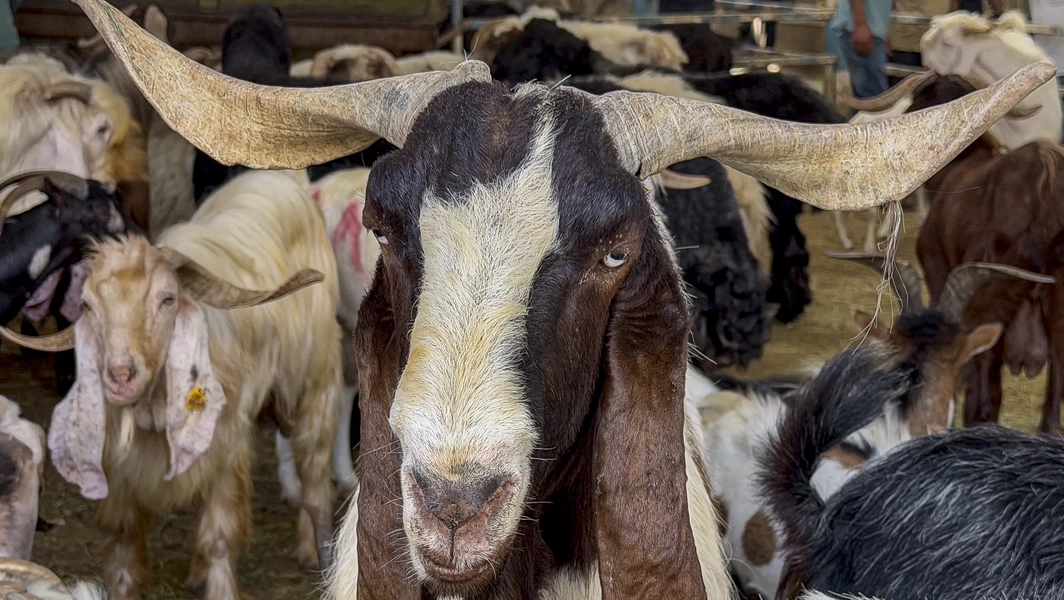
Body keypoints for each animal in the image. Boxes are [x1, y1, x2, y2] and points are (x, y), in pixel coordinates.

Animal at [4, 170, 343, 600]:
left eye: (166, 299)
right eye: (88, 305)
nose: (120, 373)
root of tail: (283, 180)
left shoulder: (226, 449)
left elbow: (219, 537)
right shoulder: (122, 467)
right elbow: (124, 540)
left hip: (314, 384)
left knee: (315, 479)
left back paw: (318, 554)